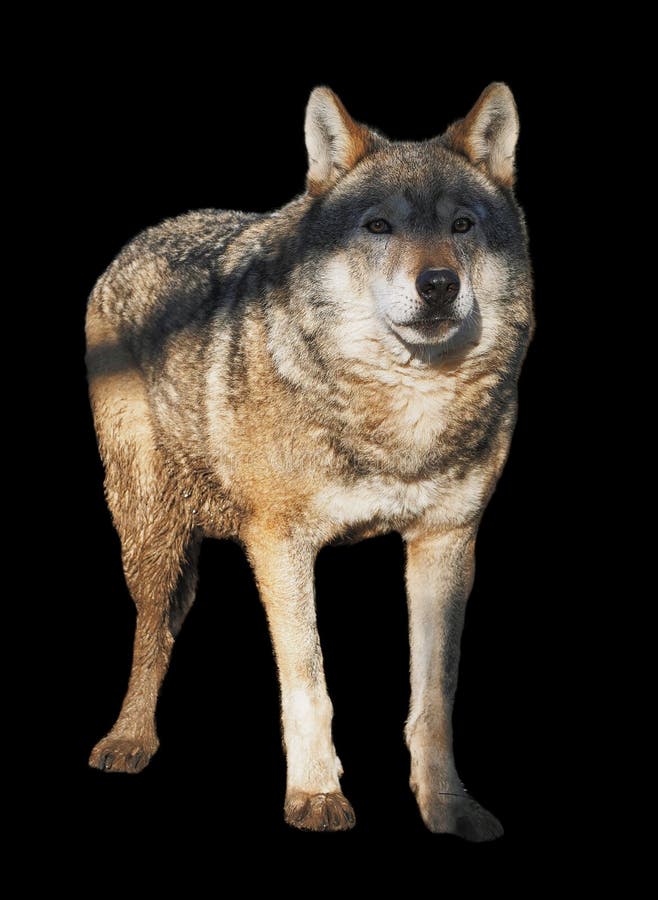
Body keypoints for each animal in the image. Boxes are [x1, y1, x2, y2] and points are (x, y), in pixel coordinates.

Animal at [86, 83, 533, 840]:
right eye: (378, 227)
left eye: (464, 225)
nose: (438, 284)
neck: (403, 420)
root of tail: (142, 237)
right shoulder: (281, 543)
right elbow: (308, 681)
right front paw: (317, 794)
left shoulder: (446, 542)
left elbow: (434, 699)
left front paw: (447, 806)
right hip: (152, 530)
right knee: (151, 629)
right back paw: (130, 740)